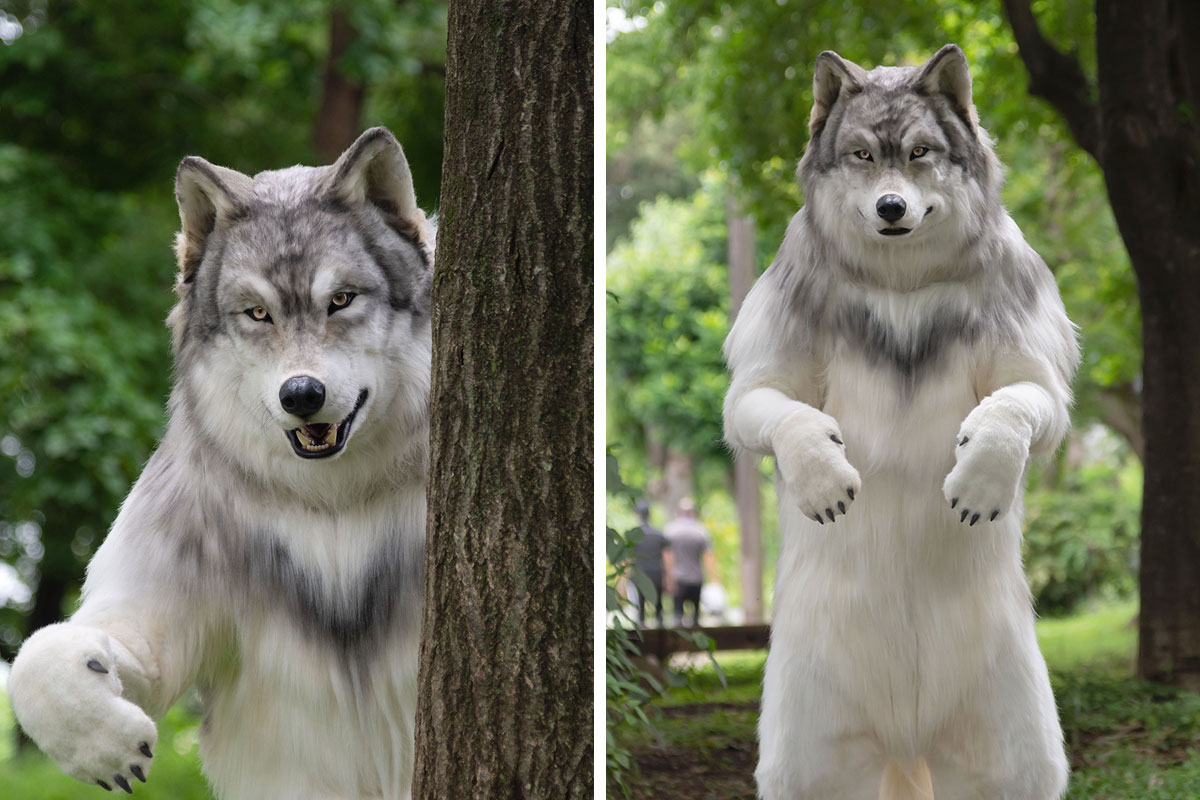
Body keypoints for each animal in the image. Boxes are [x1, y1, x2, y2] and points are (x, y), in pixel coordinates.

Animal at [7, 127, 433, 800]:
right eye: (257, 313)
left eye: (340, 300)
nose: (301, 395)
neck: (332, 504)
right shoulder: (148, 632)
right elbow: (37, 656)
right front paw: (102, 746)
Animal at [723, 45, 1079, 799]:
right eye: (862, 154)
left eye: (919, 153)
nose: (891, 207)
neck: (901, 286)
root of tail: (907, 742)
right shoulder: (758, 386)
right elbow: (784, 411)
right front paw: (823, 477)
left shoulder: (1035, 379)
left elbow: (1012, 407)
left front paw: (980, 478)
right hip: (813, 758)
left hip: (1004, 754)